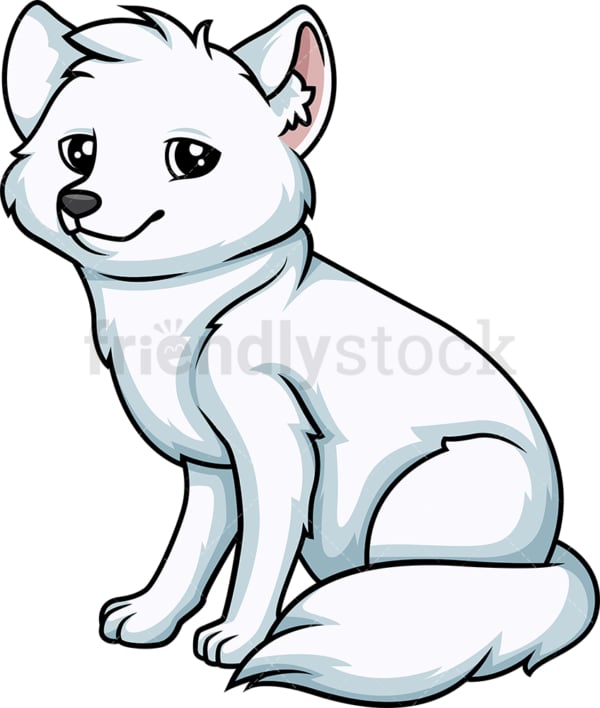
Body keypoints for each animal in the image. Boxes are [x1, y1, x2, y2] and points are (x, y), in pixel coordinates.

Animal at [2, 2, 598, 705]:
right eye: (80, 151)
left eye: (191, 157)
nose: (78, 201)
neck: (186, 314)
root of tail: (549, 554)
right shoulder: (212, 469)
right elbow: (189, 555)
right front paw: (152, 620)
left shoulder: (275, 451)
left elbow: (259, 560)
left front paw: (236, 638)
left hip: (420, 502)